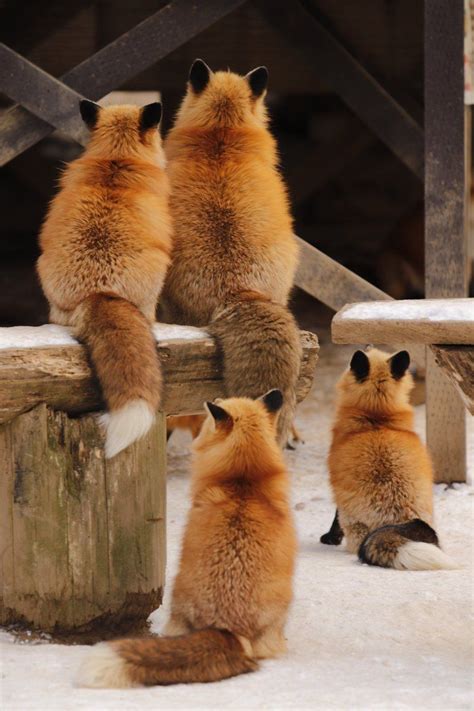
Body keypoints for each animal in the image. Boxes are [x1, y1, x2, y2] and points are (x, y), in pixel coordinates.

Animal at [326, 348, 457, 570]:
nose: (366, 344)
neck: (377, 419)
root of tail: (397, 520)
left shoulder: (338, 490)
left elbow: (334, 519)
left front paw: (329, 538)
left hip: (351, 521)